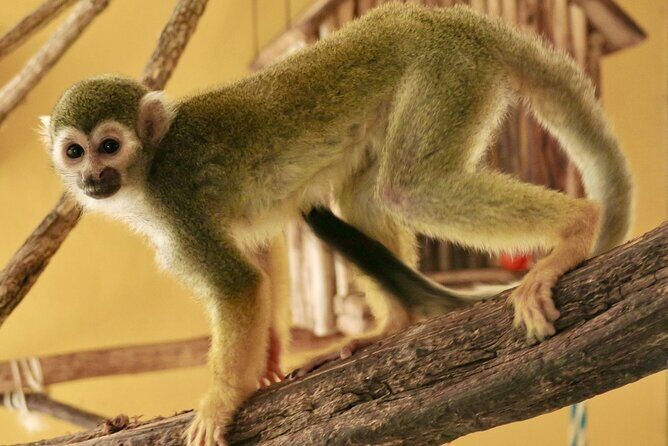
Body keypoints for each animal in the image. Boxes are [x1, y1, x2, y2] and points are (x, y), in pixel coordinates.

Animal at [40, 3, 632, 445]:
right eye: (74, 151)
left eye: (109, 146)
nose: (92, 176)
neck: (149, 165)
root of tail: (451, 19)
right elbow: (258, 253)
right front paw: (268, 358)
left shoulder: (175, 202)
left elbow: (237, 284)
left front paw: (222, 399)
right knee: (366, 197)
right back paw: (393, 323)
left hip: (444, 71)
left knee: (410, 188)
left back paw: (575, 231)